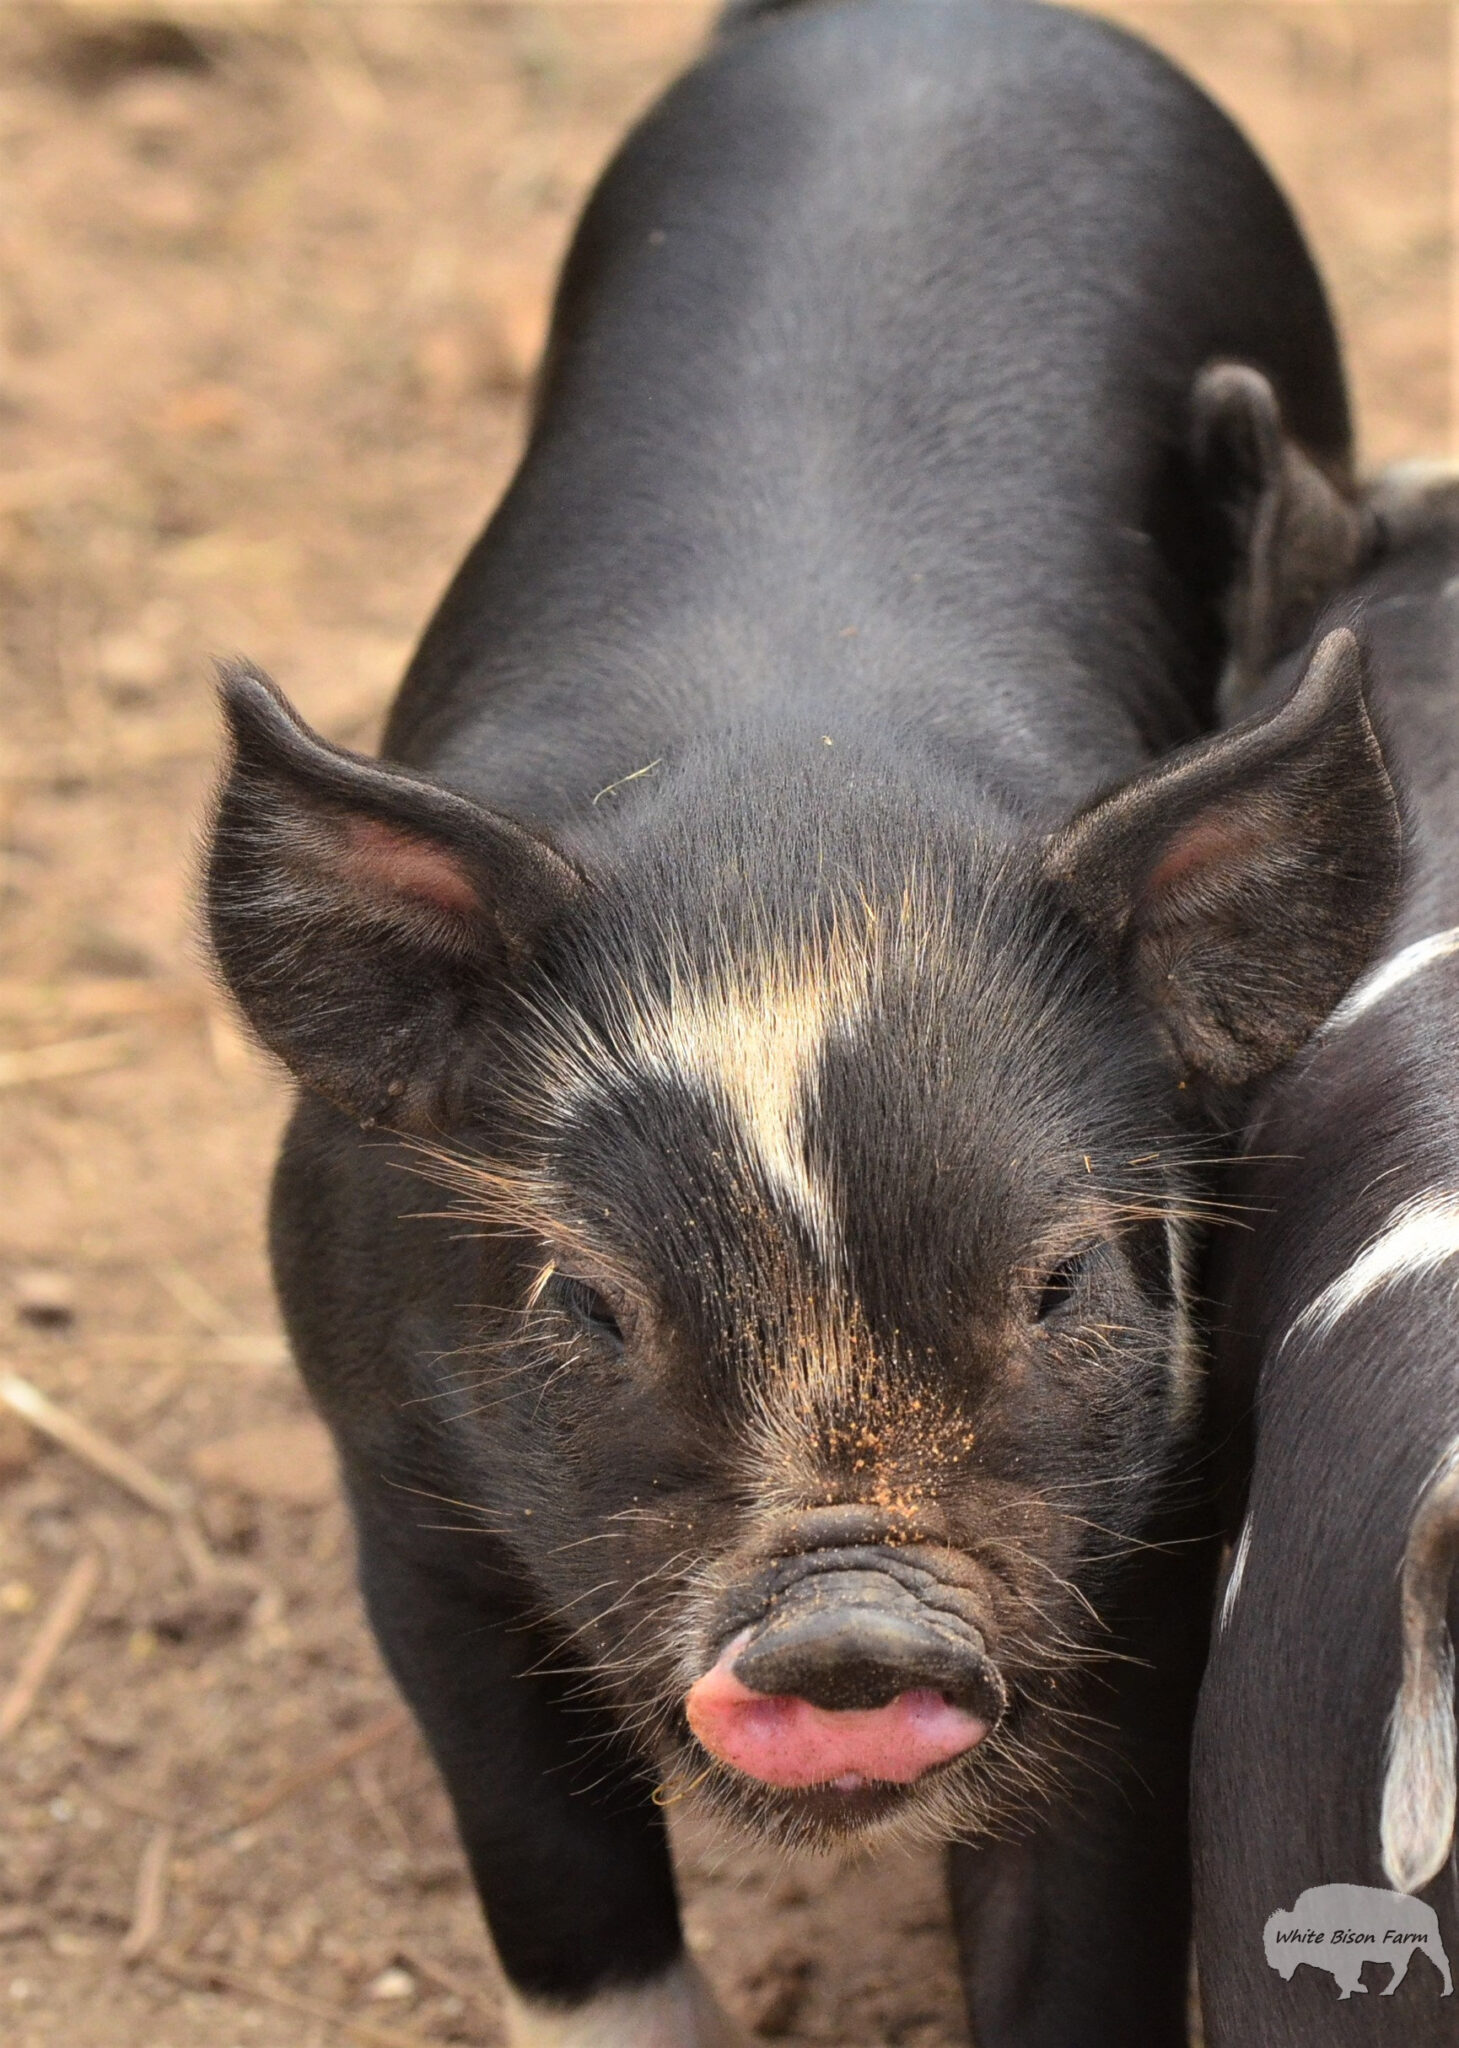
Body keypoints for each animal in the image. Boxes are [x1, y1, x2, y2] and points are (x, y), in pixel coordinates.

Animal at [204, 2, 1395, 2043]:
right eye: (586, 1301)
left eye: (1061, 1280)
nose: (846, 1624)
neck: (788, 832)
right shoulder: (401, 1498)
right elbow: (565, 1893)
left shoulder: (1146, 1549)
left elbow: (1075, 1924)